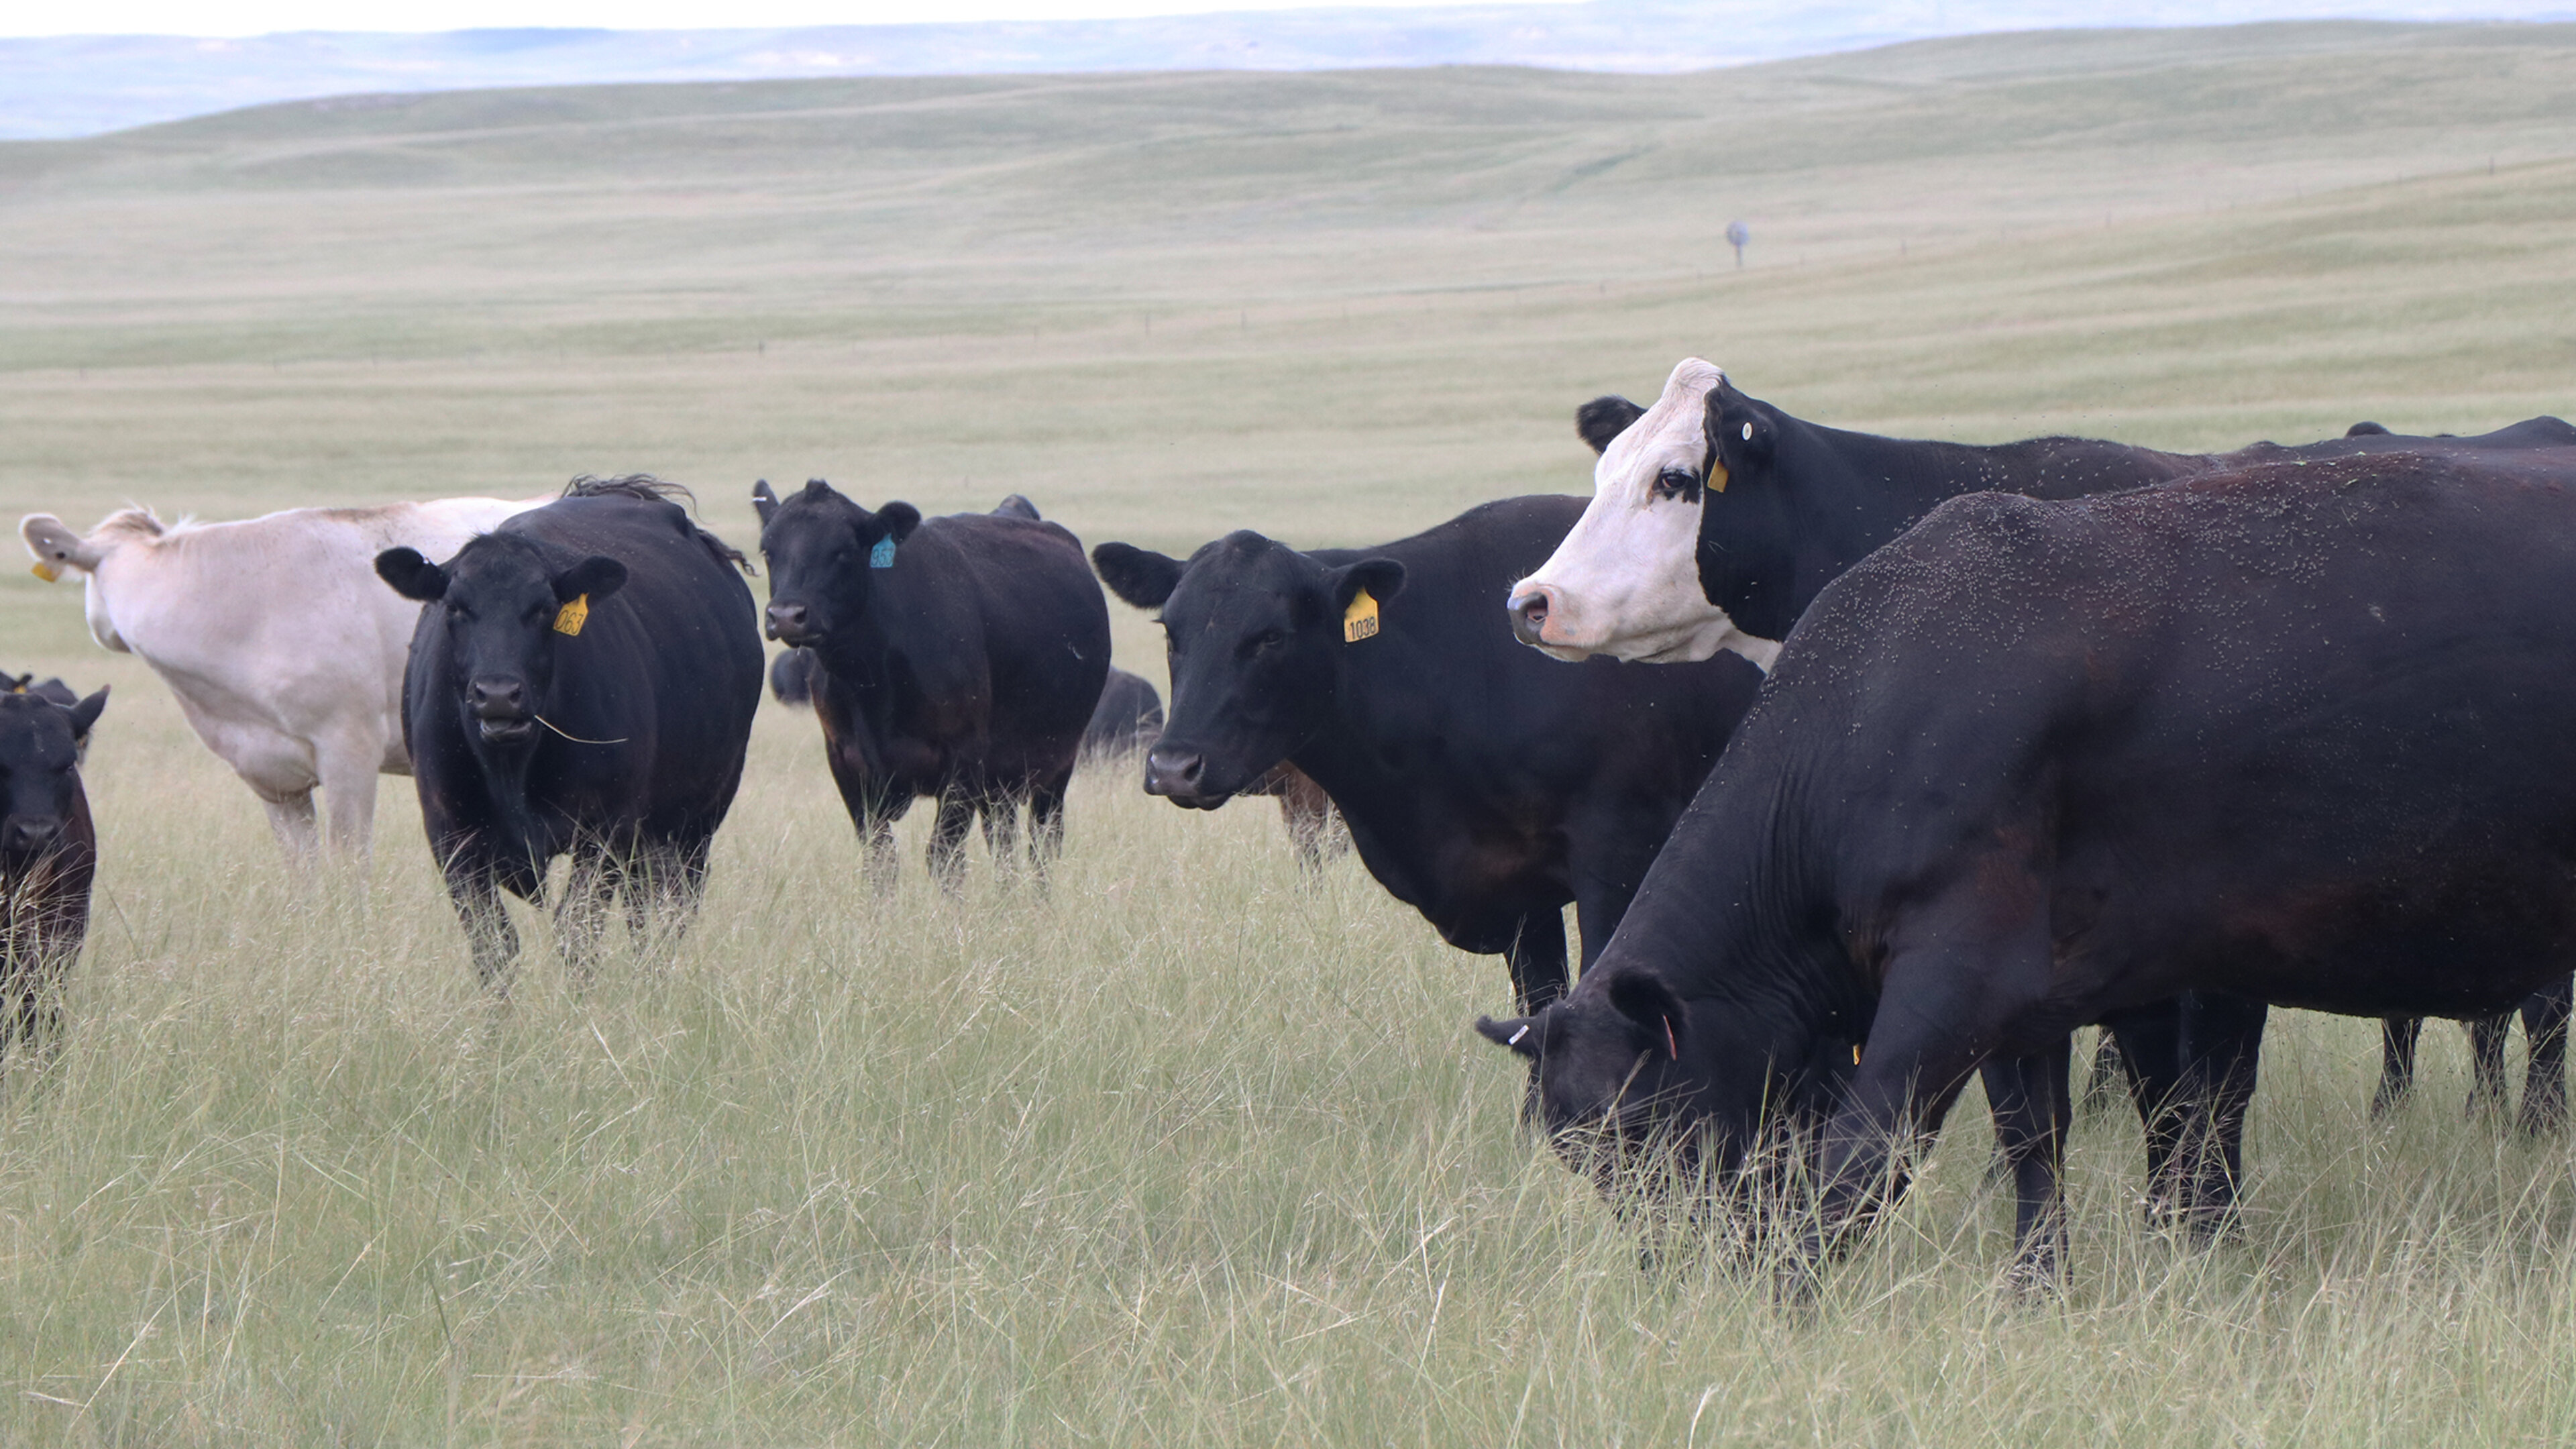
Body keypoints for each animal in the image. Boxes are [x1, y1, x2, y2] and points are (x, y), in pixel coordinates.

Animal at [374, 477, 762, 987]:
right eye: (455, 608)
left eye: (544, 609)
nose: (498, 695)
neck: (511, 769)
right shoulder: (450, 833)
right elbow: (493, 945)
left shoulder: (605, 829)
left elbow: (578, 932)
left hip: (697, 818)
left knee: (667, 914)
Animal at [752, 480, 1109, 892]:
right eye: (768, 550)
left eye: (842, 550)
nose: (786, 615)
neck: (872, 682)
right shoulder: (845, 763)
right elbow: (880, 859)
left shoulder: (963, 761)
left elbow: (944, 857)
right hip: (1001, 782)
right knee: (1003, 841)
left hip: (1055, 765)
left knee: (1044, 843)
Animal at [1479, 449, 2576, 1288]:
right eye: (1578, 1155)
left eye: (1643, 1129)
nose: (1673, 1270)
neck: (1880, 705)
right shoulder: (2035, 996)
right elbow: (2036, 1145)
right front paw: (2039, 1288)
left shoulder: (1958, 978)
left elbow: (1861, 1156)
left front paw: (1786, 1301)